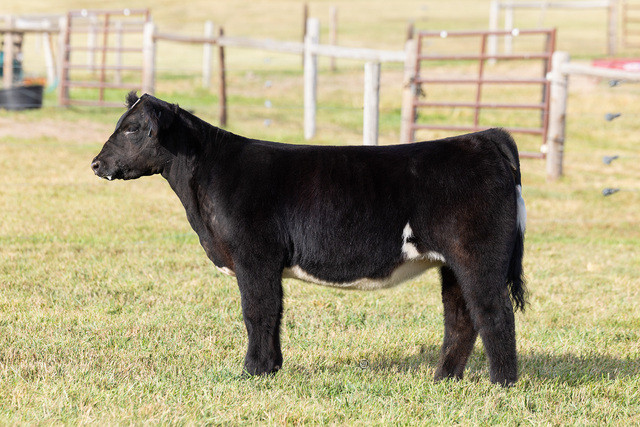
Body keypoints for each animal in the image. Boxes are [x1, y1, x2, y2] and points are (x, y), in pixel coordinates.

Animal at [91, 92, 526, 386]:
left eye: (131, 128)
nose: (96, 163)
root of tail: (485, 138)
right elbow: (275, 313)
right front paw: (271, 368)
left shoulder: (255, 258)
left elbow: (258, 312)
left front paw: (252, 371)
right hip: (451, 264)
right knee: (461, 318)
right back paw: (443, 378)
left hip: (478, 257)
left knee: (494, 314)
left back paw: (502, 383)